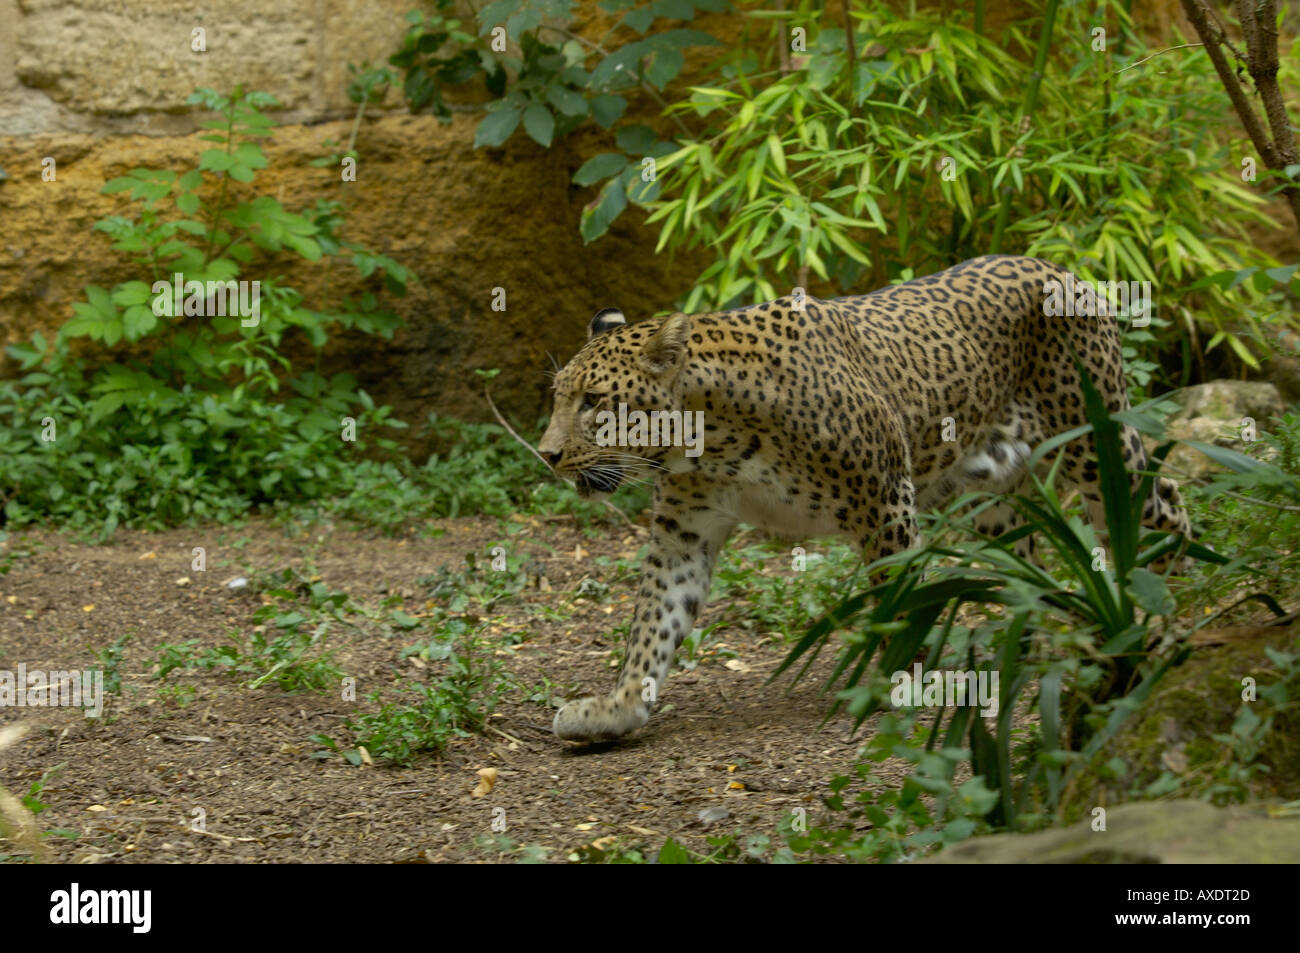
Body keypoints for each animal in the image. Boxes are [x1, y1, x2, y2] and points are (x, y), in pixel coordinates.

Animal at [538, 254, 1190, 742]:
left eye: (594, 401)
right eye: (558, 396)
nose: (546, 454)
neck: (710, 438)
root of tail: (1061, 267)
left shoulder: (885, 504)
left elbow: (894, 603)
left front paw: (897, 683)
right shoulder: (684, 534)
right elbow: (653, 625)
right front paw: (617, 708)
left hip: (1095, 443)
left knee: (1162, 499)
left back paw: (1162, 606)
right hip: (991, 497)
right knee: (1029, 563)